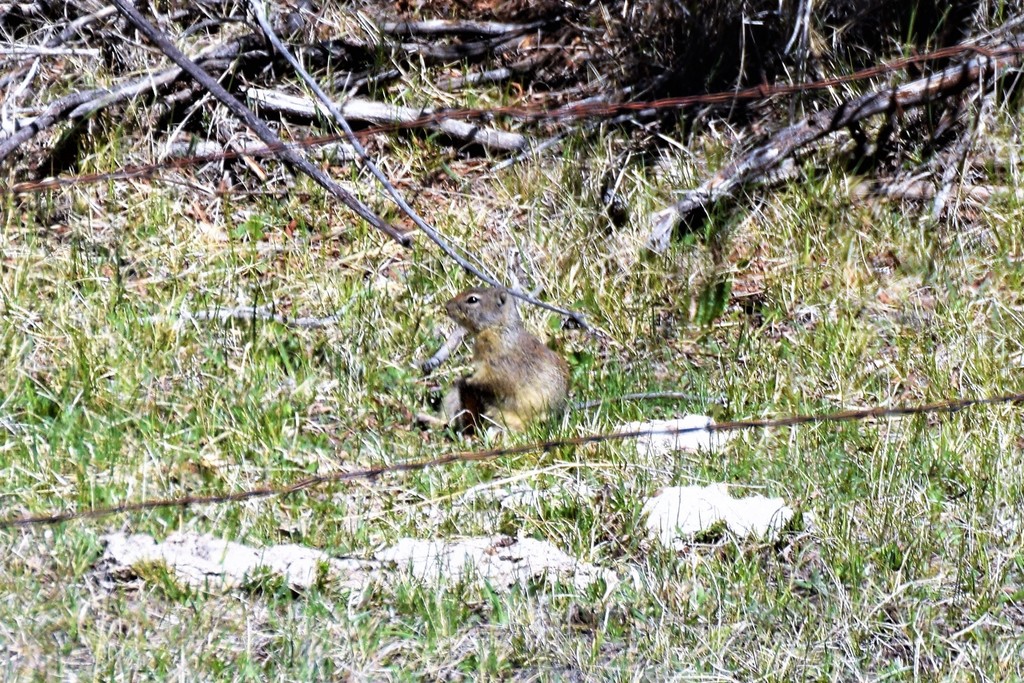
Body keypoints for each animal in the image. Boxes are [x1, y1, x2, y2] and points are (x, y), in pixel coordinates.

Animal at [440, 287, 569, 433]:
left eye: (472, 299)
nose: (446, 306)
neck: (498, 329)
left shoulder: (500, 363)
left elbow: (493, 378)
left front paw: (466, 380)